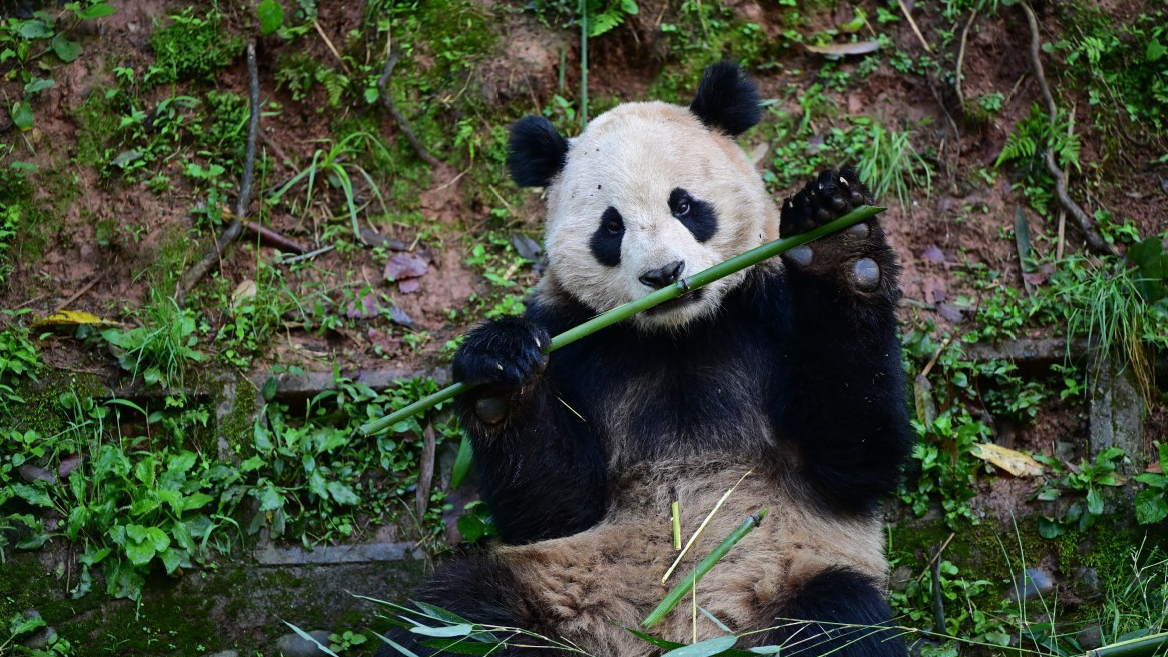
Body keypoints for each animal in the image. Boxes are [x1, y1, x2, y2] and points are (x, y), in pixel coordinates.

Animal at [376, 62, 912, 657]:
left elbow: (853, 457)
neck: (677, 335)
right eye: (612, 226)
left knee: (837, 619)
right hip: (551, 585)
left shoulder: (767, 309)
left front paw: (840, 239)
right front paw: (497, 375)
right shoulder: (574, 341)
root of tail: (663, 638)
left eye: (685, 205)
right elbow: (553, 508)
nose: (663, 274)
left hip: (783, 576)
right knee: (454, 617)